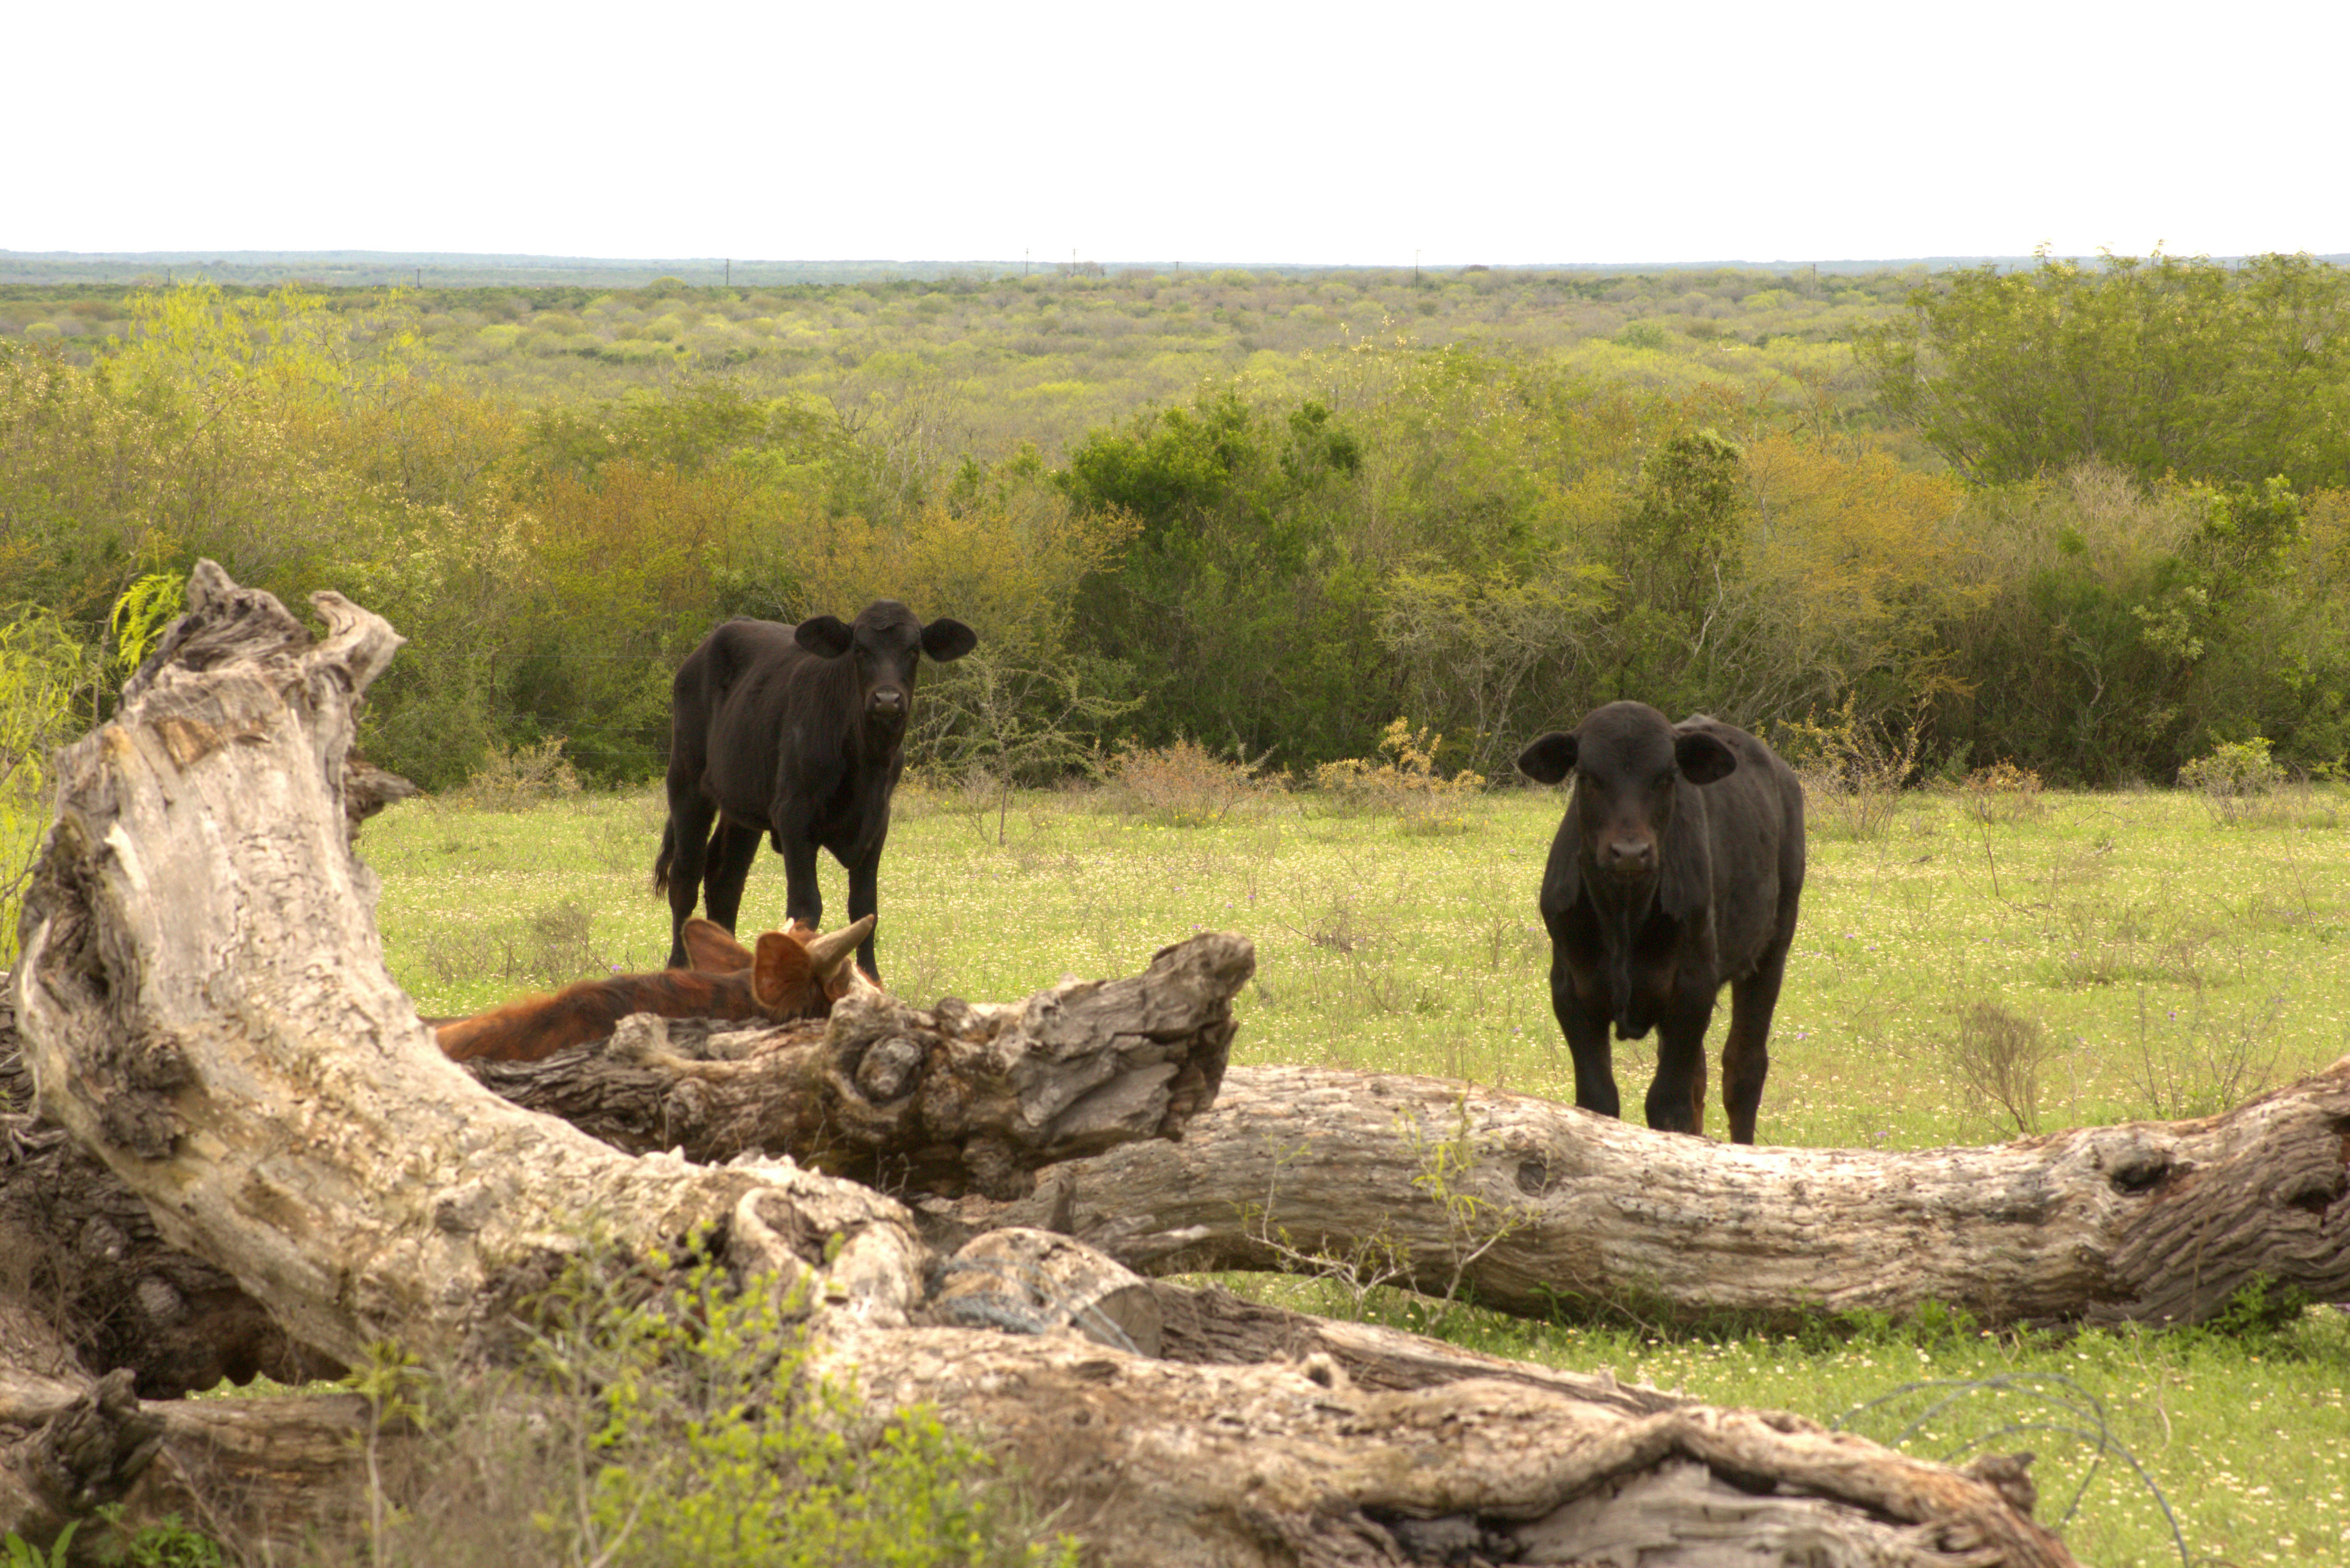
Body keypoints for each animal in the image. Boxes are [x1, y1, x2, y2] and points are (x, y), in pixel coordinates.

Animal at [652, 602, 976, 976]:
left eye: (913, 651)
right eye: (859, 649)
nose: (887, 699)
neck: (867, 763)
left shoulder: (878, 821)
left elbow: (865, 907)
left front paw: (871, 978)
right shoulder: (794, 816)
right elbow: (806, 907)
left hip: (742, 805)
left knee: (725, 879)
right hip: (686, 782)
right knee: (686, 874)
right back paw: (678, 967)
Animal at [1516, 701, 1805, 1144]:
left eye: (1666, 777)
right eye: (1587, 777)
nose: (1630, 852)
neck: (1623, 915)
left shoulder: (1692, 987)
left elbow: (1669, 1105)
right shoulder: (1571, 990)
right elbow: (1598, 1099)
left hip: (1772, 949)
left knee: (1744, 1069)